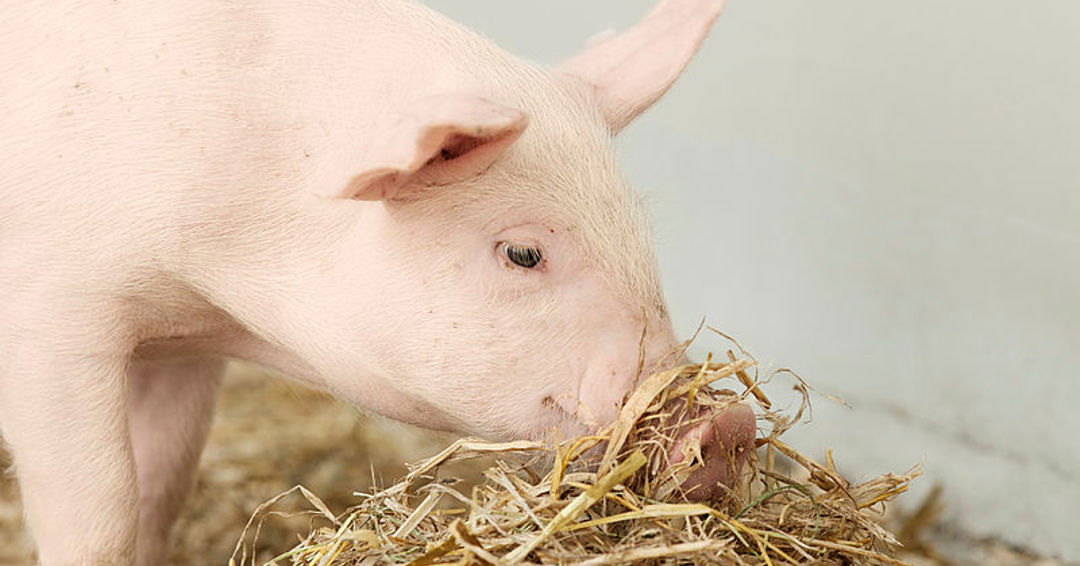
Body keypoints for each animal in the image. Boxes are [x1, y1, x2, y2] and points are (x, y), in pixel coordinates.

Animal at [0, 0, 754, 564]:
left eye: (639, 234)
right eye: (522, 253)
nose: (730, 424)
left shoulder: (183, 343)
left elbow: (159, 490)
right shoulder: (49, 322)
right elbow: (101, 510)